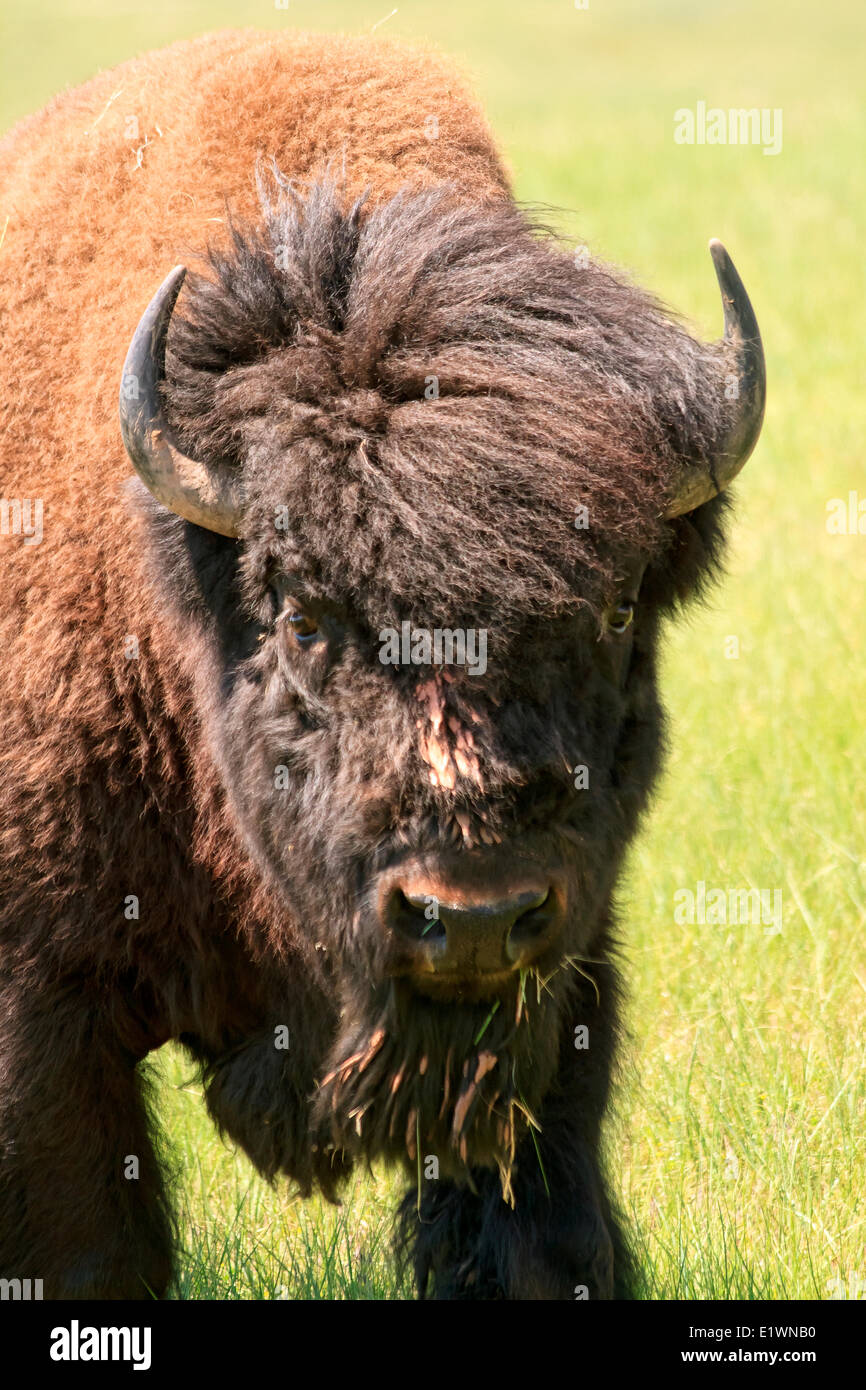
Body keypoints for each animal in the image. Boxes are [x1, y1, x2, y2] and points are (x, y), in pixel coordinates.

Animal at [0, 29, 764, 1299]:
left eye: (611, 610)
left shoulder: (568, 980)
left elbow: (536, 1220)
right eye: (306, 618)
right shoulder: (42, 1003)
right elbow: (84, 1241)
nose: (468, 916)